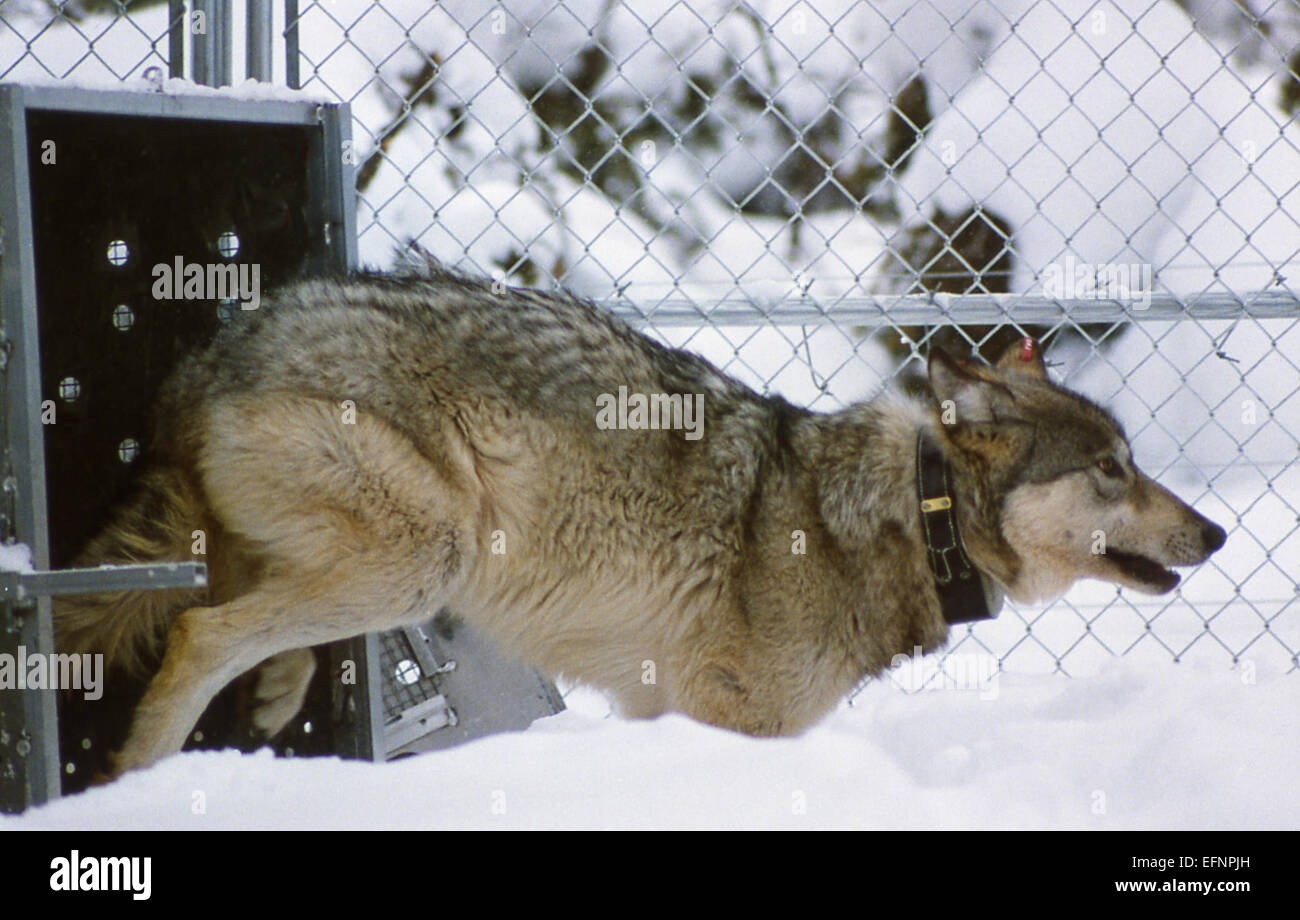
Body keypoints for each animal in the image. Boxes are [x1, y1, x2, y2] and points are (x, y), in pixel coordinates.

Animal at [54, 262, 1226, 777]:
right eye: (1114, 469)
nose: (1216, 534)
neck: (904, 516)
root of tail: (217, 348)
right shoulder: (739, 720)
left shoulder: (663, 707)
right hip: (425, 557)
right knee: (198, 630)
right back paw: (139, 782)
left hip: (381, 559)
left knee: (243, 618)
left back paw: (273, 695)